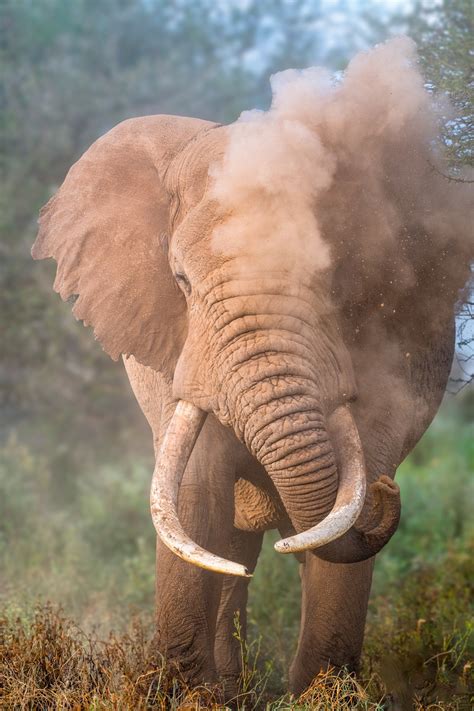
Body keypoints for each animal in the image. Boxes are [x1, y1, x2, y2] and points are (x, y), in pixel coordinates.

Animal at [32, 45, 471, 699]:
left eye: (331, 276)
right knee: (232, 541)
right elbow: (195, 498)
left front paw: (320, 697)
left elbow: (344, 502)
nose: (390, 493)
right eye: (181, 281)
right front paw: (191, 697)